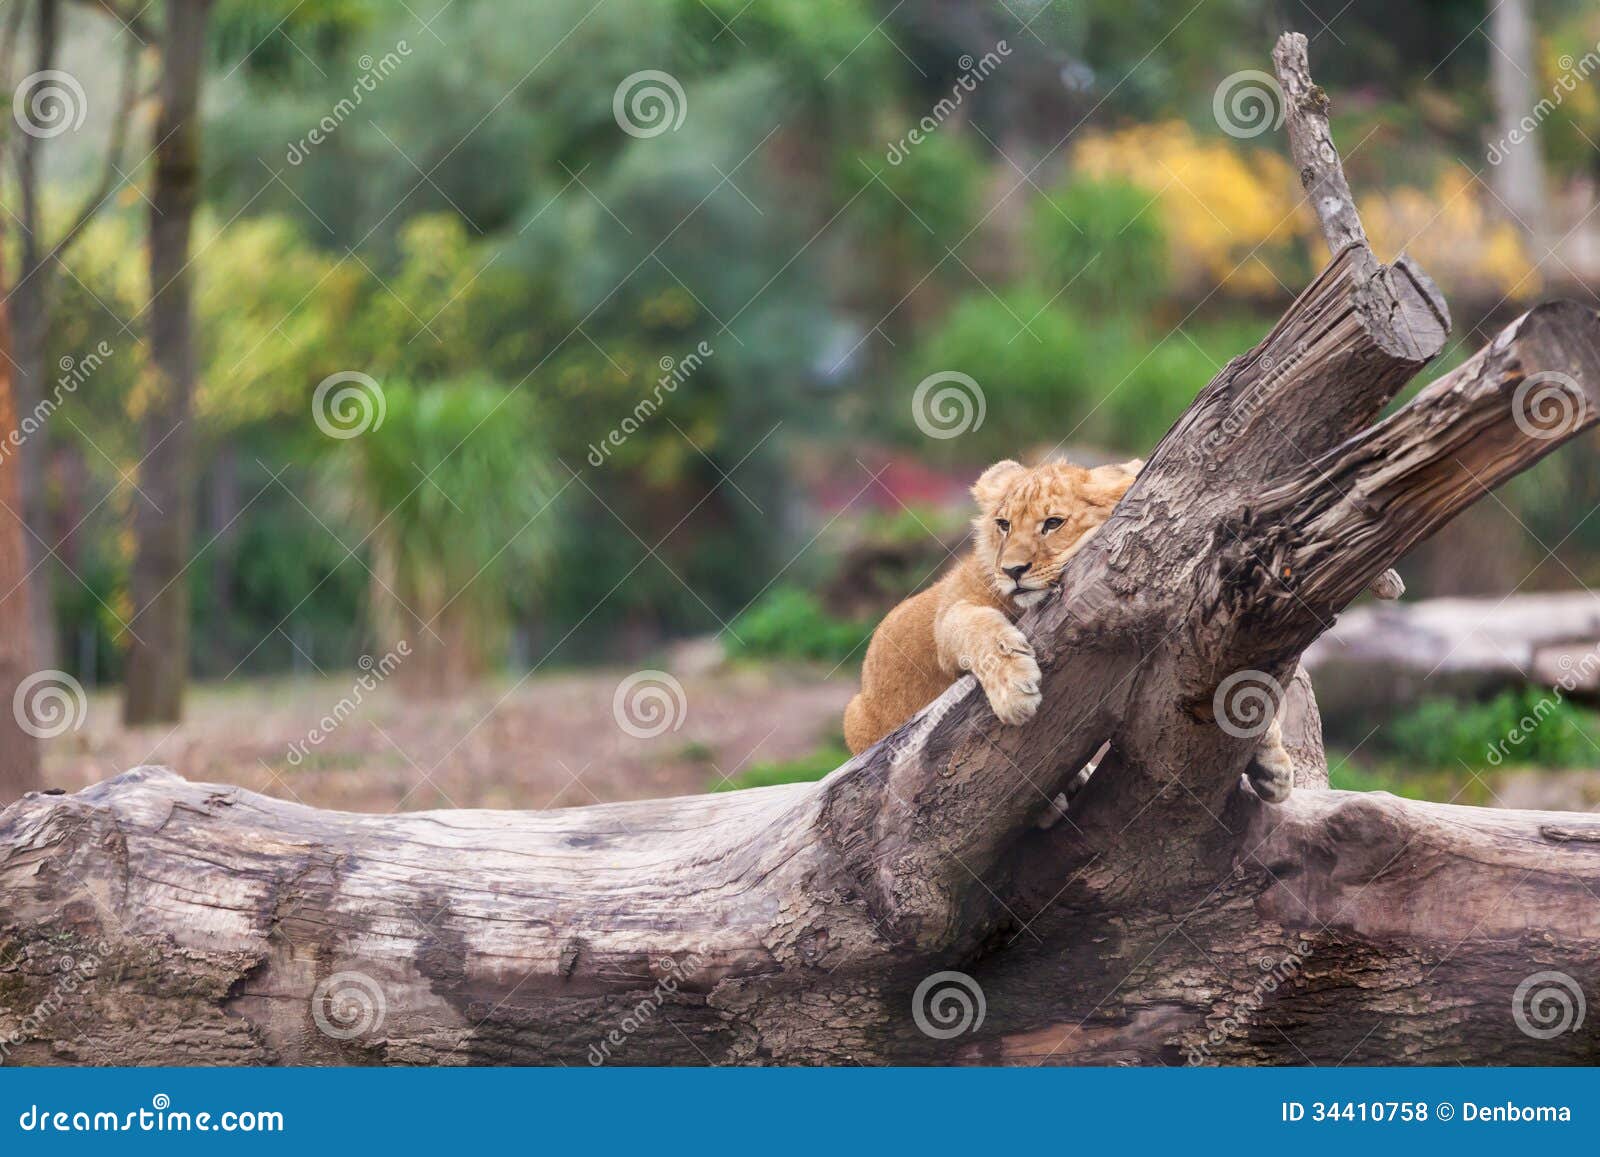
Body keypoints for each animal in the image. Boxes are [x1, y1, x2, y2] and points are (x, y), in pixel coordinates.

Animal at [842, 457, 1293, 804]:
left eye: (1053, 523)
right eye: (1003, 525)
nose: (1013, 571)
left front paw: (1273, 761)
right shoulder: (949, 616)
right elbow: (977, 628)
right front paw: (1015, 690)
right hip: (854, 714)